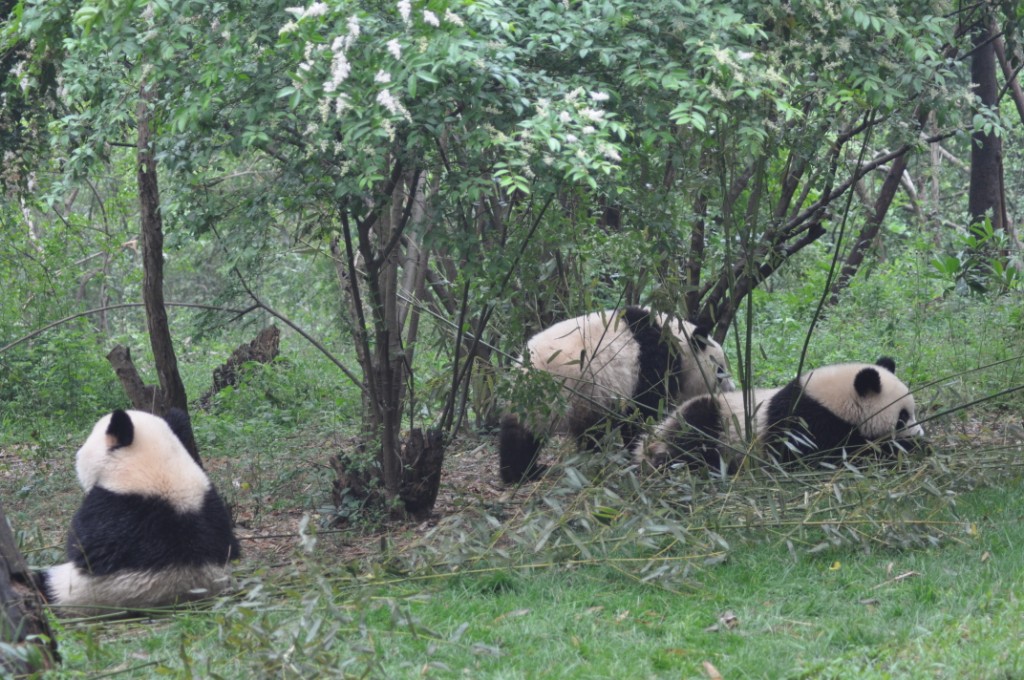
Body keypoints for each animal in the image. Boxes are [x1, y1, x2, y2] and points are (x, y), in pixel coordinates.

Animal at [500, 306, 734, 483]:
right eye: (720, 370)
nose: (732, 389)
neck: (679, 344)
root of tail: (526, 365)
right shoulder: (651, 365)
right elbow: (642, 413)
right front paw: (638, 451)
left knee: (519, 428)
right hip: (554, 390)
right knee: (529, 431)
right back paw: (522, 473)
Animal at [634, 357, 925, 475]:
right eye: (902, 417)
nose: (919, 432)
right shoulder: (806, 422)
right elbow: (823, 455)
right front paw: (902, 447)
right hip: (710, 422)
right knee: (694, 440)